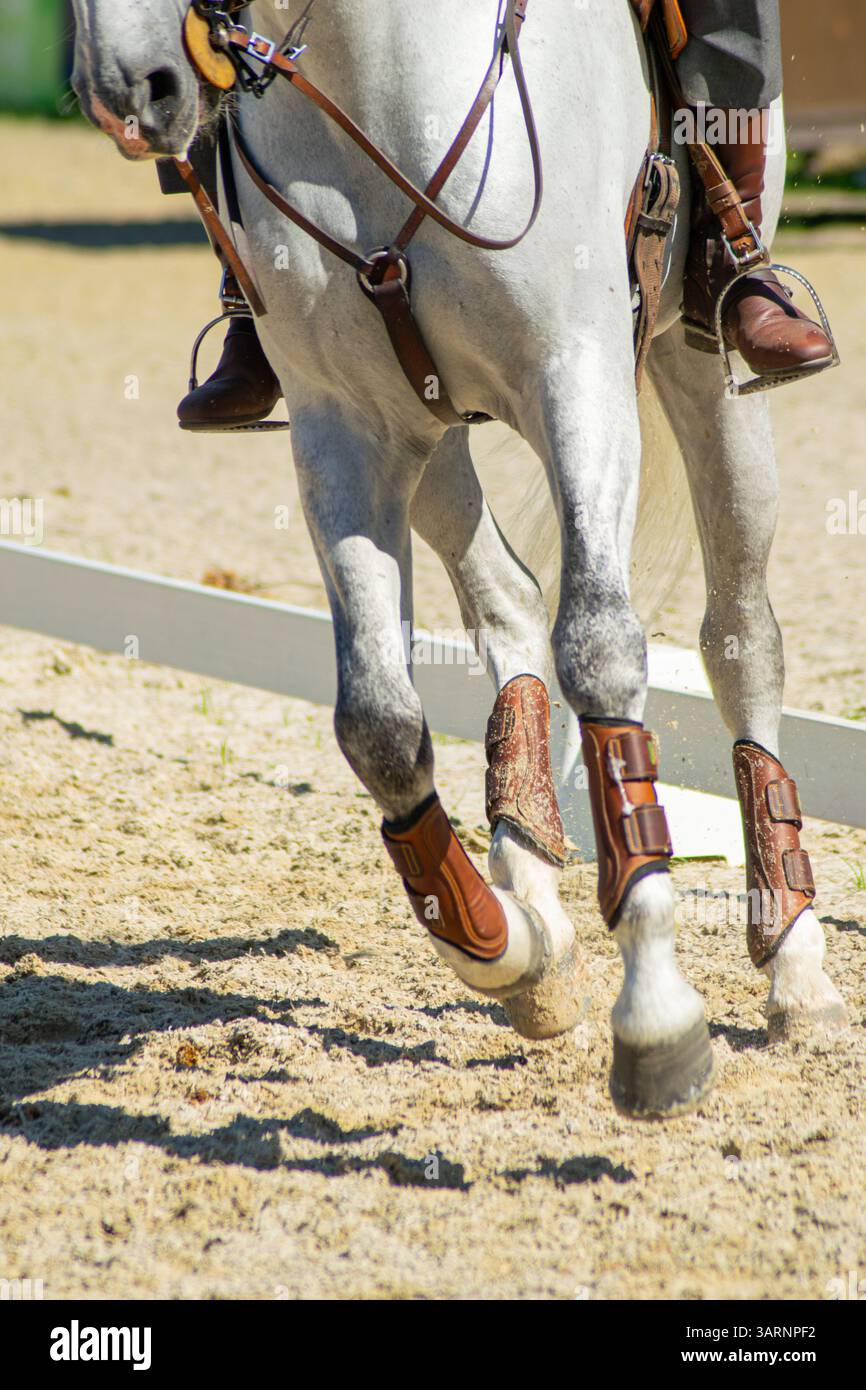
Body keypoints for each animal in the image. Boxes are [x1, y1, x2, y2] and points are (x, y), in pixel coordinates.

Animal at [70, 0, 846, 1118]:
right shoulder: (345, 430)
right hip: (429, 434)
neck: (376, 79)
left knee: (739, 635)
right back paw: (527, 875)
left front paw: (657, 1019)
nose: (128, 91)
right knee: (507, 601)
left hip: (698, 368)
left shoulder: (579, 378)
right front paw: (512, 949)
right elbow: (381, 727)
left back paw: (792, 962)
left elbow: (601, 654)